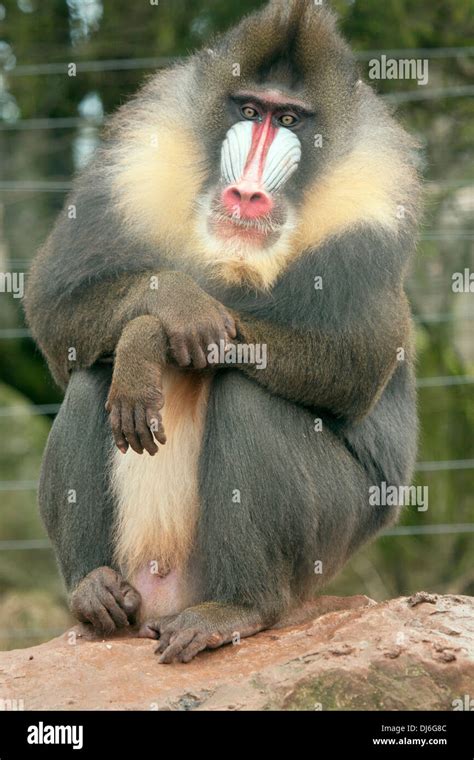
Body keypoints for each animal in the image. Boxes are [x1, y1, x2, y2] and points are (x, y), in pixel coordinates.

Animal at [25, 0, 421, 664]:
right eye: (249, 111)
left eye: (289, 119)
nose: (247, 192)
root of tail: (164, 595)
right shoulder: (131, 169)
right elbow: (55, 306)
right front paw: (171, 307)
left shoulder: (370, 217)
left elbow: (355, 361)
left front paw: (154, 338)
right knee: (93, 377)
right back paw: (93, 590)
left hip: (327, 542)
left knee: (246, 396)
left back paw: (234, 610)